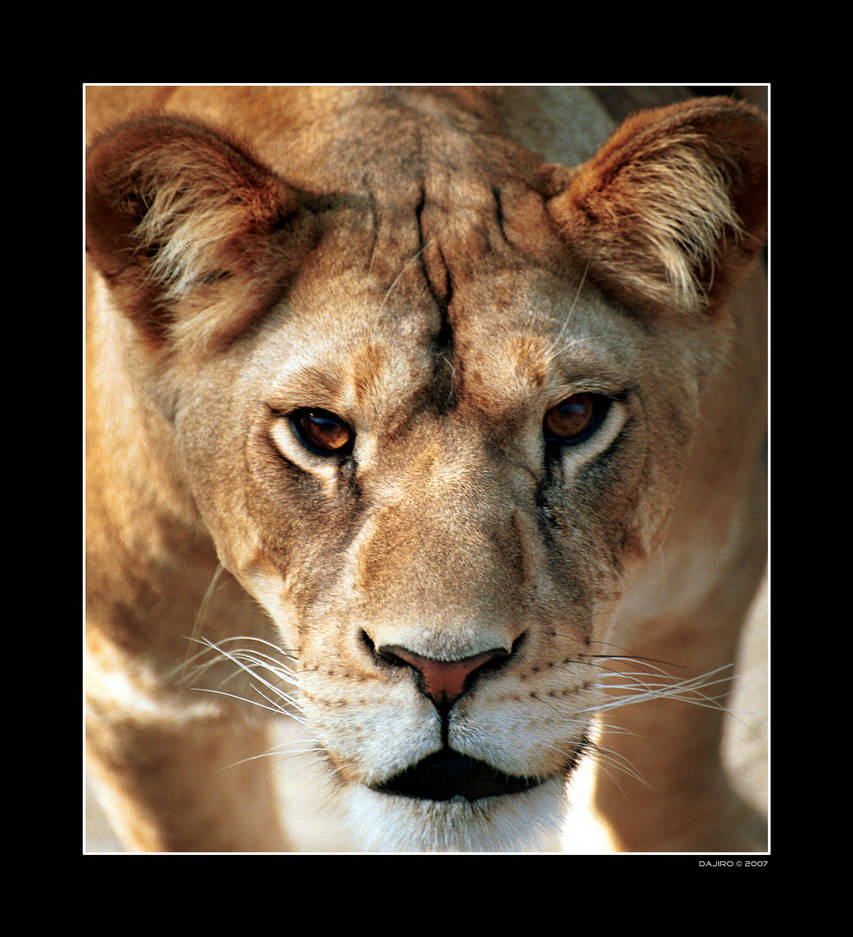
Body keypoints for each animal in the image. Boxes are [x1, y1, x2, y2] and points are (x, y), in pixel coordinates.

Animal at [85, 86, 767, 853]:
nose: (445, 671)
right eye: (321, 429)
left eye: (573, 416)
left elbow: (665, 806)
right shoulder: (140, 708)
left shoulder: (703, 597)